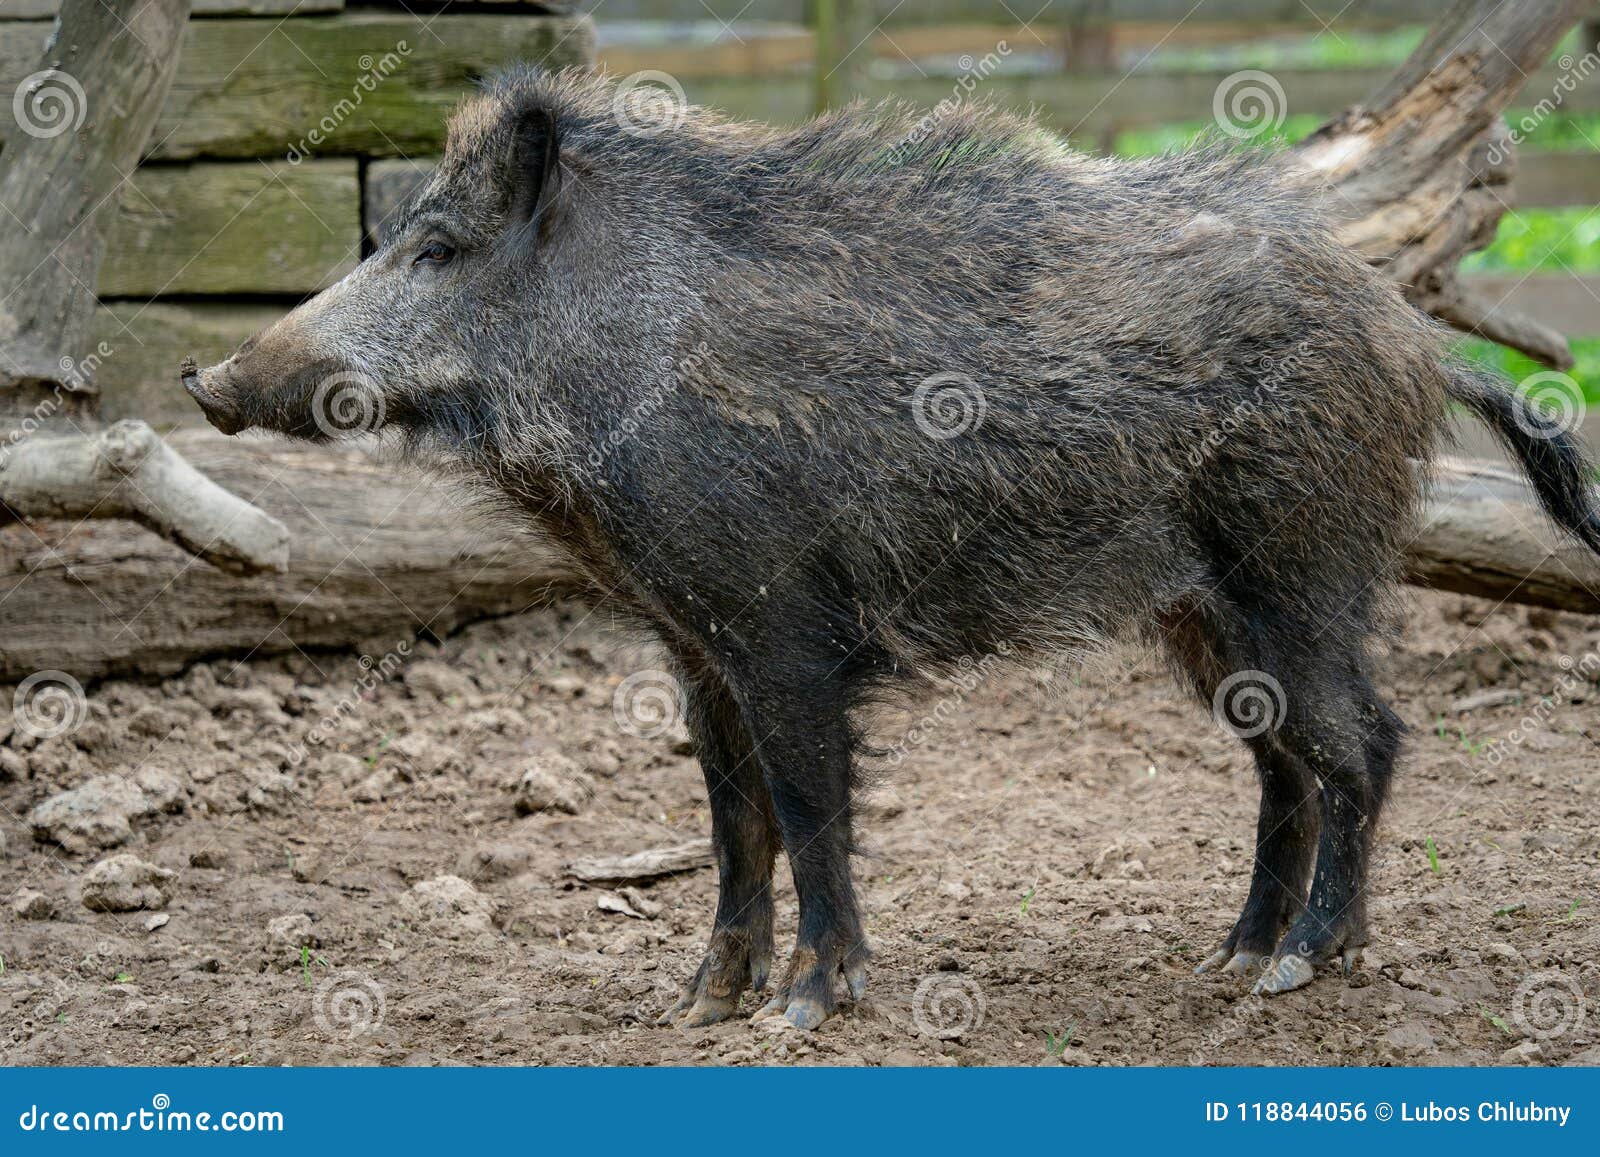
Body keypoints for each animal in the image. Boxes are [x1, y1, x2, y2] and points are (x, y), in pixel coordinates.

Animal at [183, 67, 1600, 1030]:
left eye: (435, 247)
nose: (207, 379)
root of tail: (1411, 334)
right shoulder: (692, 643)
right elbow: (731, 819)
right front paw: (699, 1004)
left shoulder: (783, 627)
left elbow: (811, 805)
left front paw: (809, 1009)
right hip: (1203, 613)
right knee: (1283, 763)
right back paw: (1226, 959)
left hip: (1300, 561)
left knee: (1368, 737)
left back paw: (1308, 966)